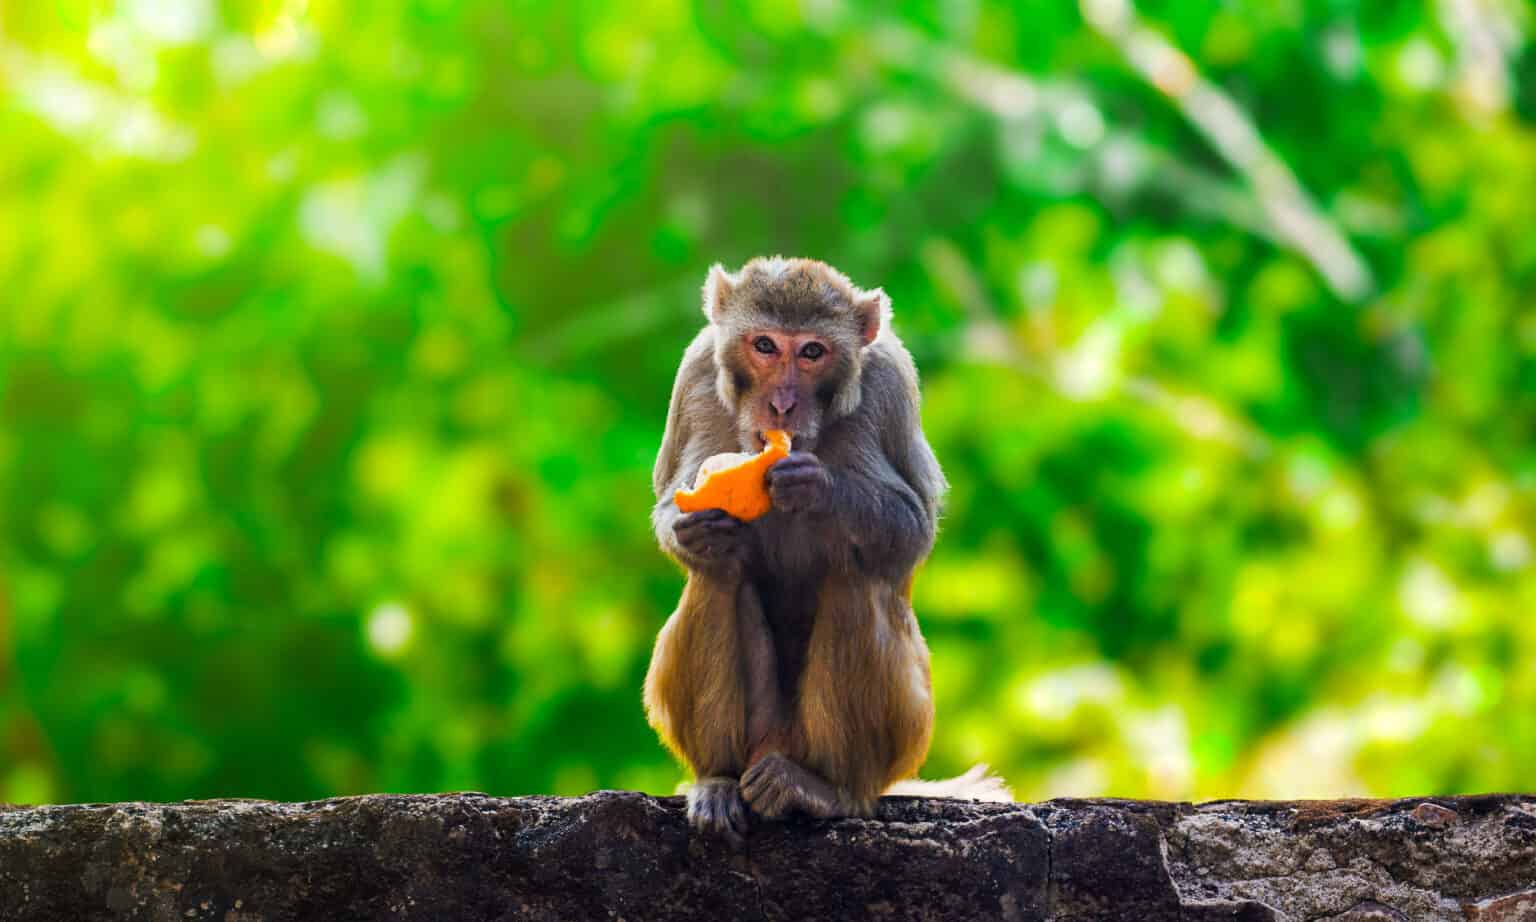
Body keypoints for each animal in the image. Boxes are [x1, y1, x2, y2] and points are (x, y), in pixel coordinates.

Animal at [643, 256, 1009, 840]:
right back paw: (717, 780)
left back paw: (827, 791)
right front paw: (693, 527)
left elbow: (913, 527)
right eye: (764, 345)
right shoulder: (696, 371)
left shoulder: (890, 381)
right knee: (719, 574)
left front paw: (817, 488)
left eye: (813, 352)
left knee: (853, 571)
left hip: (900, 735)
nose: (782, 404)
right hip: (763, 730)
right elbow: (673, 500)